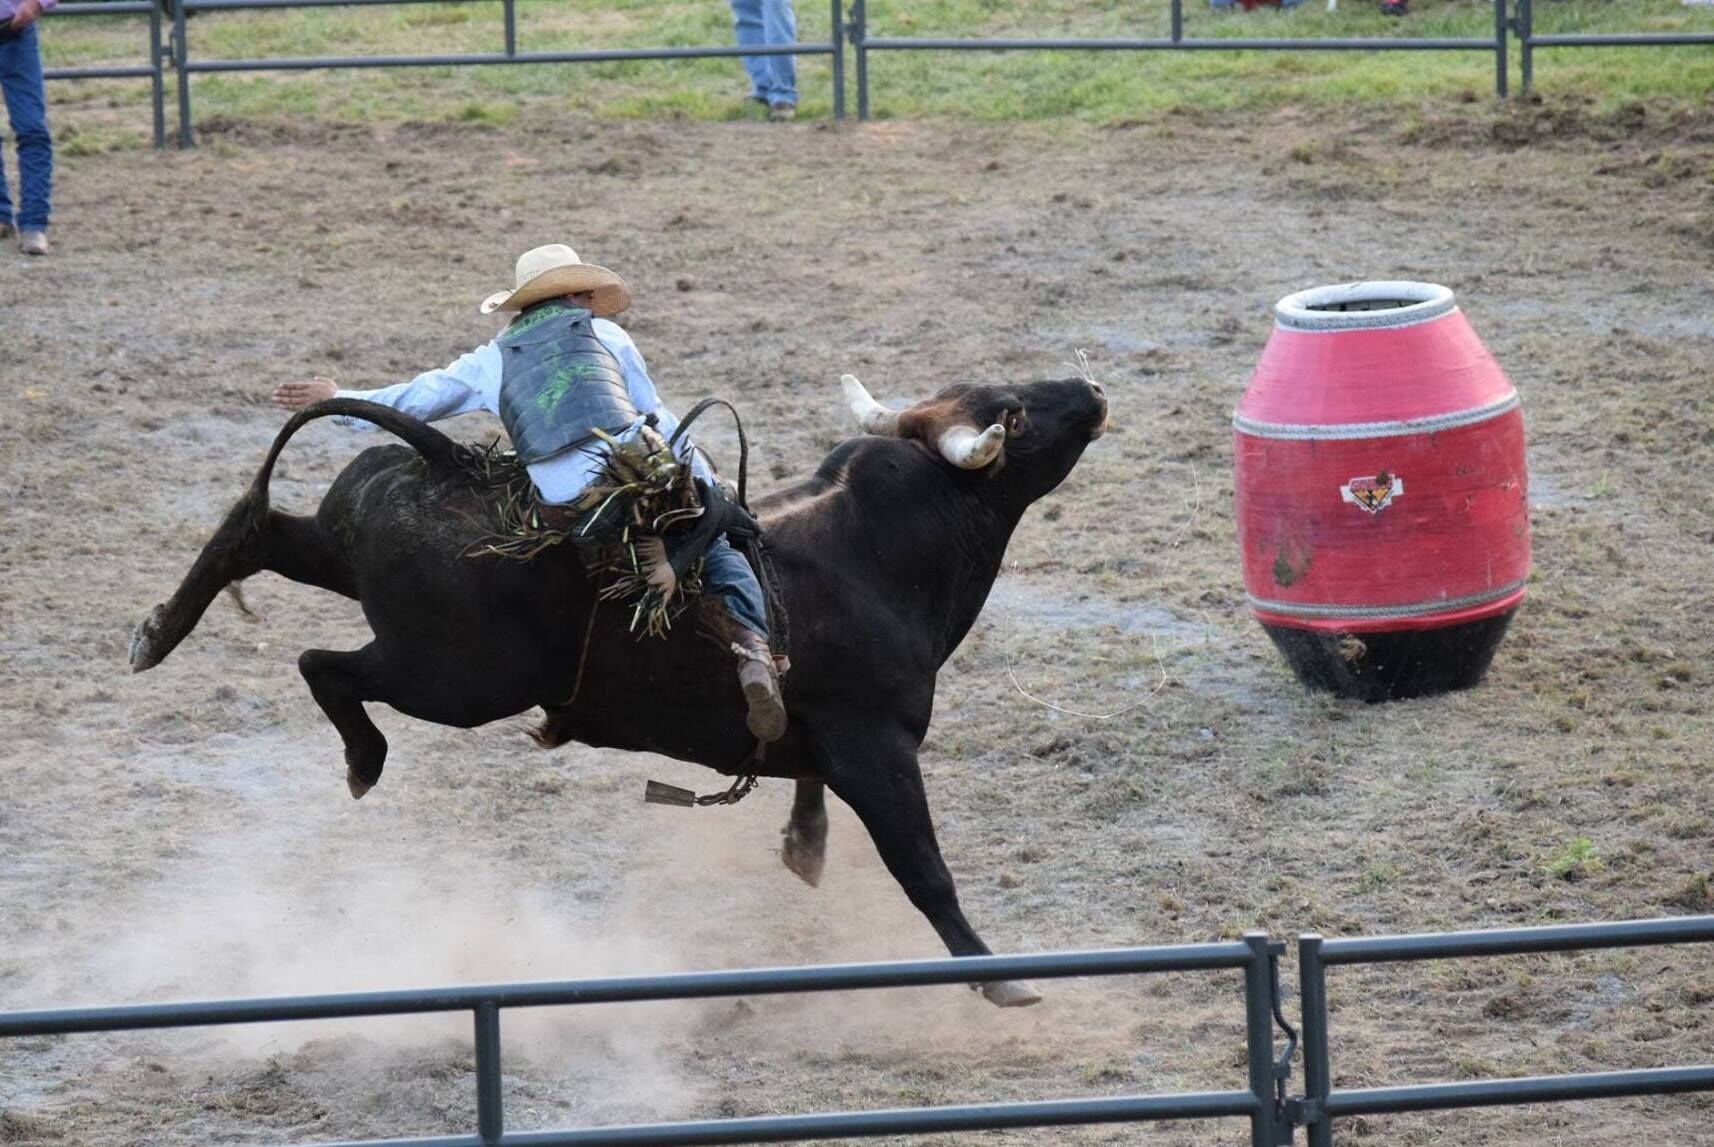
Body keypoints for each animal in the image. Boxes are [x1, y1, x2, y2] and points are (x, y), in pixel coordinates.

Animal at [131, 373, 1108, 1006]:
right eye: (1016, 415)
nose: (1091, 388)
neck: (881, 547)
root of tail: (450, 459)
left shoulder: (833, 740)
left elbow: (807, 780)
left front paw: (804, 845)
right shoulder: (879, 747)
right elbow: (924, 868)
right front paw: (1001, 980)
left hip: (365, 576)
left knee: (266, 538)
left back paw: (161, 627)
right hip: (453, 677)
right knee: (321, 663)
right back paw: (363, 757)